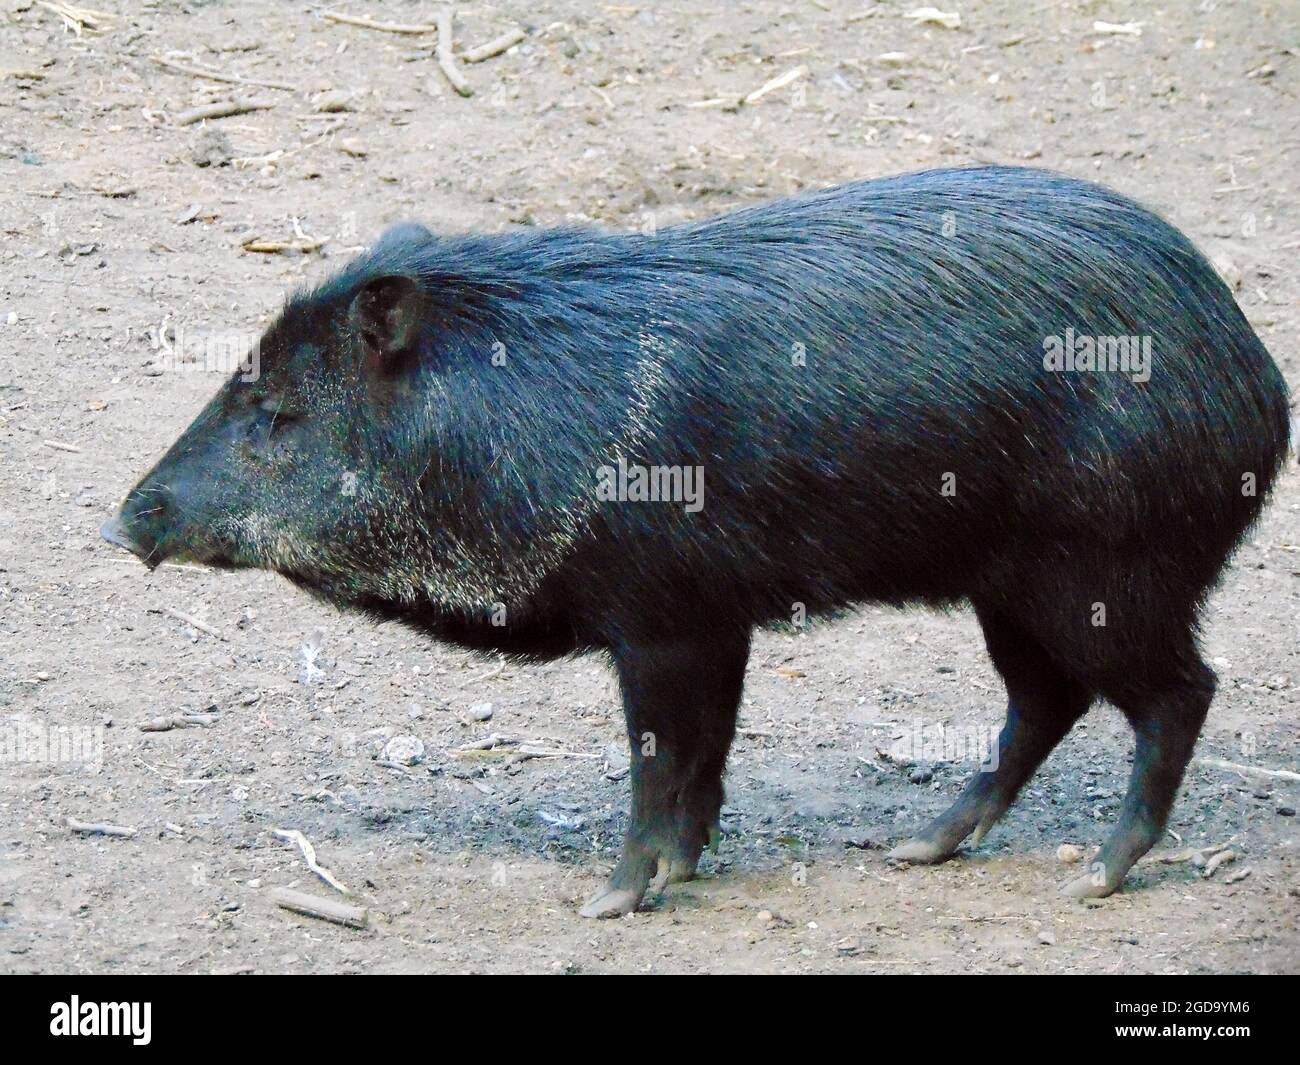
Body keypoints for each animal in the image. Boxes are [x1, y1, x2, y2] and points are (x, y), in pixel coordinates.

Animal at [102, 167, 1292, 917]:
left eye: (279, 416)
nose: (123, 519)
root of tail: (1260, 387)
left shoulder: (661, 619)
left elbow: (655, 760)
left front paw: (610, 900)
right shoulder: (714, 621)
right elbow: (706, 756)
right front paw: (682, 873)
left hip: (1106, 572)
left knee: (1178, 694)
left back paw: (1095, 874)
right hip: (1014, 590)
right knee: (1045, 703)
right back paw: (919, 847)